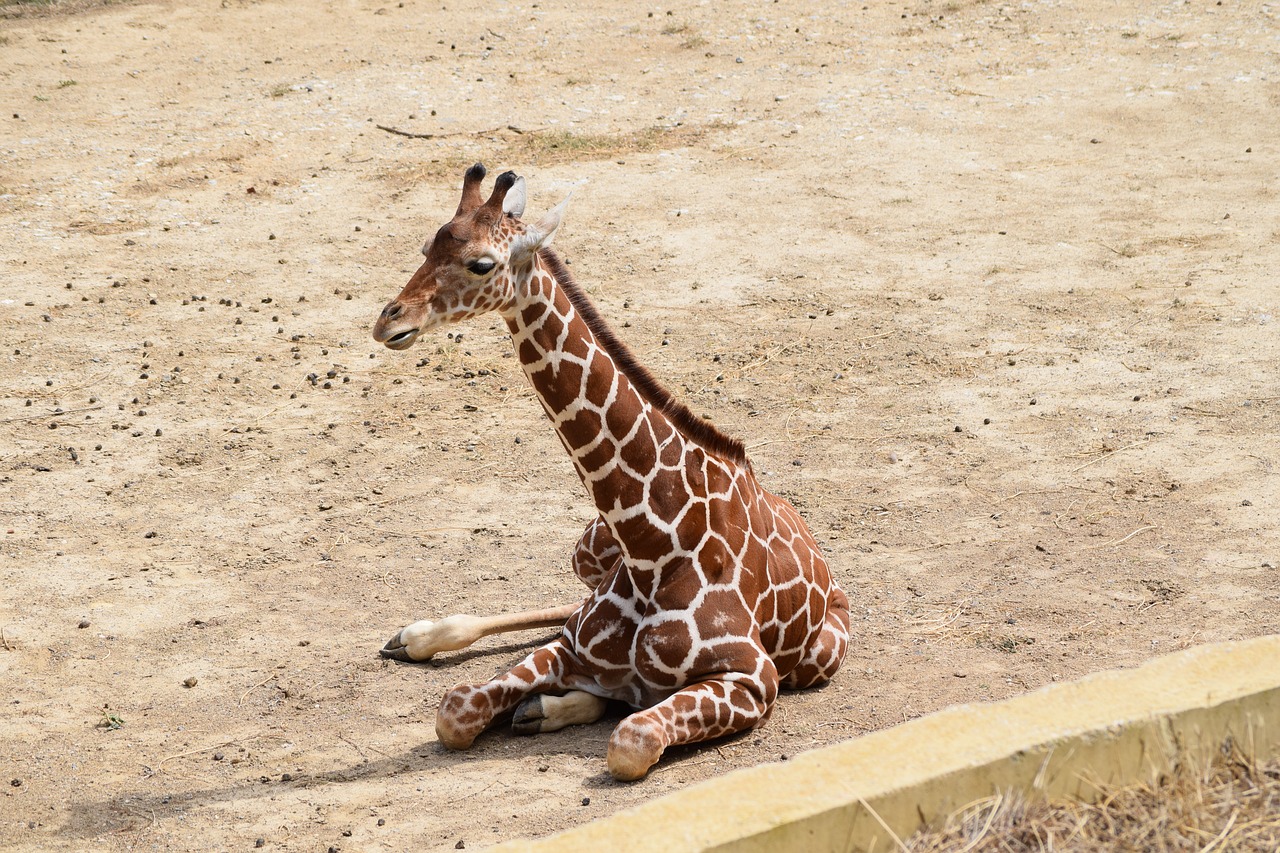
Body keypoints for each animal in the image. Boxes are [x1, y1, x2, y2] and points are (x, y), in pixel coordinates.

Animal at [372, 164, 850, 780]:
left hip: (819, 658)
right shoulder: (571, 643)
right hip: (584, 550)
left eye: (481, 263)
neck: (652, 543)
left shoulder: (752, 678)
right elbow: (454, 711)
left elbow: (632, 740)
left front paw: (568, 704)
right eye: (426, 247)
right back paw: (421, 640)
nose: (389, 321)